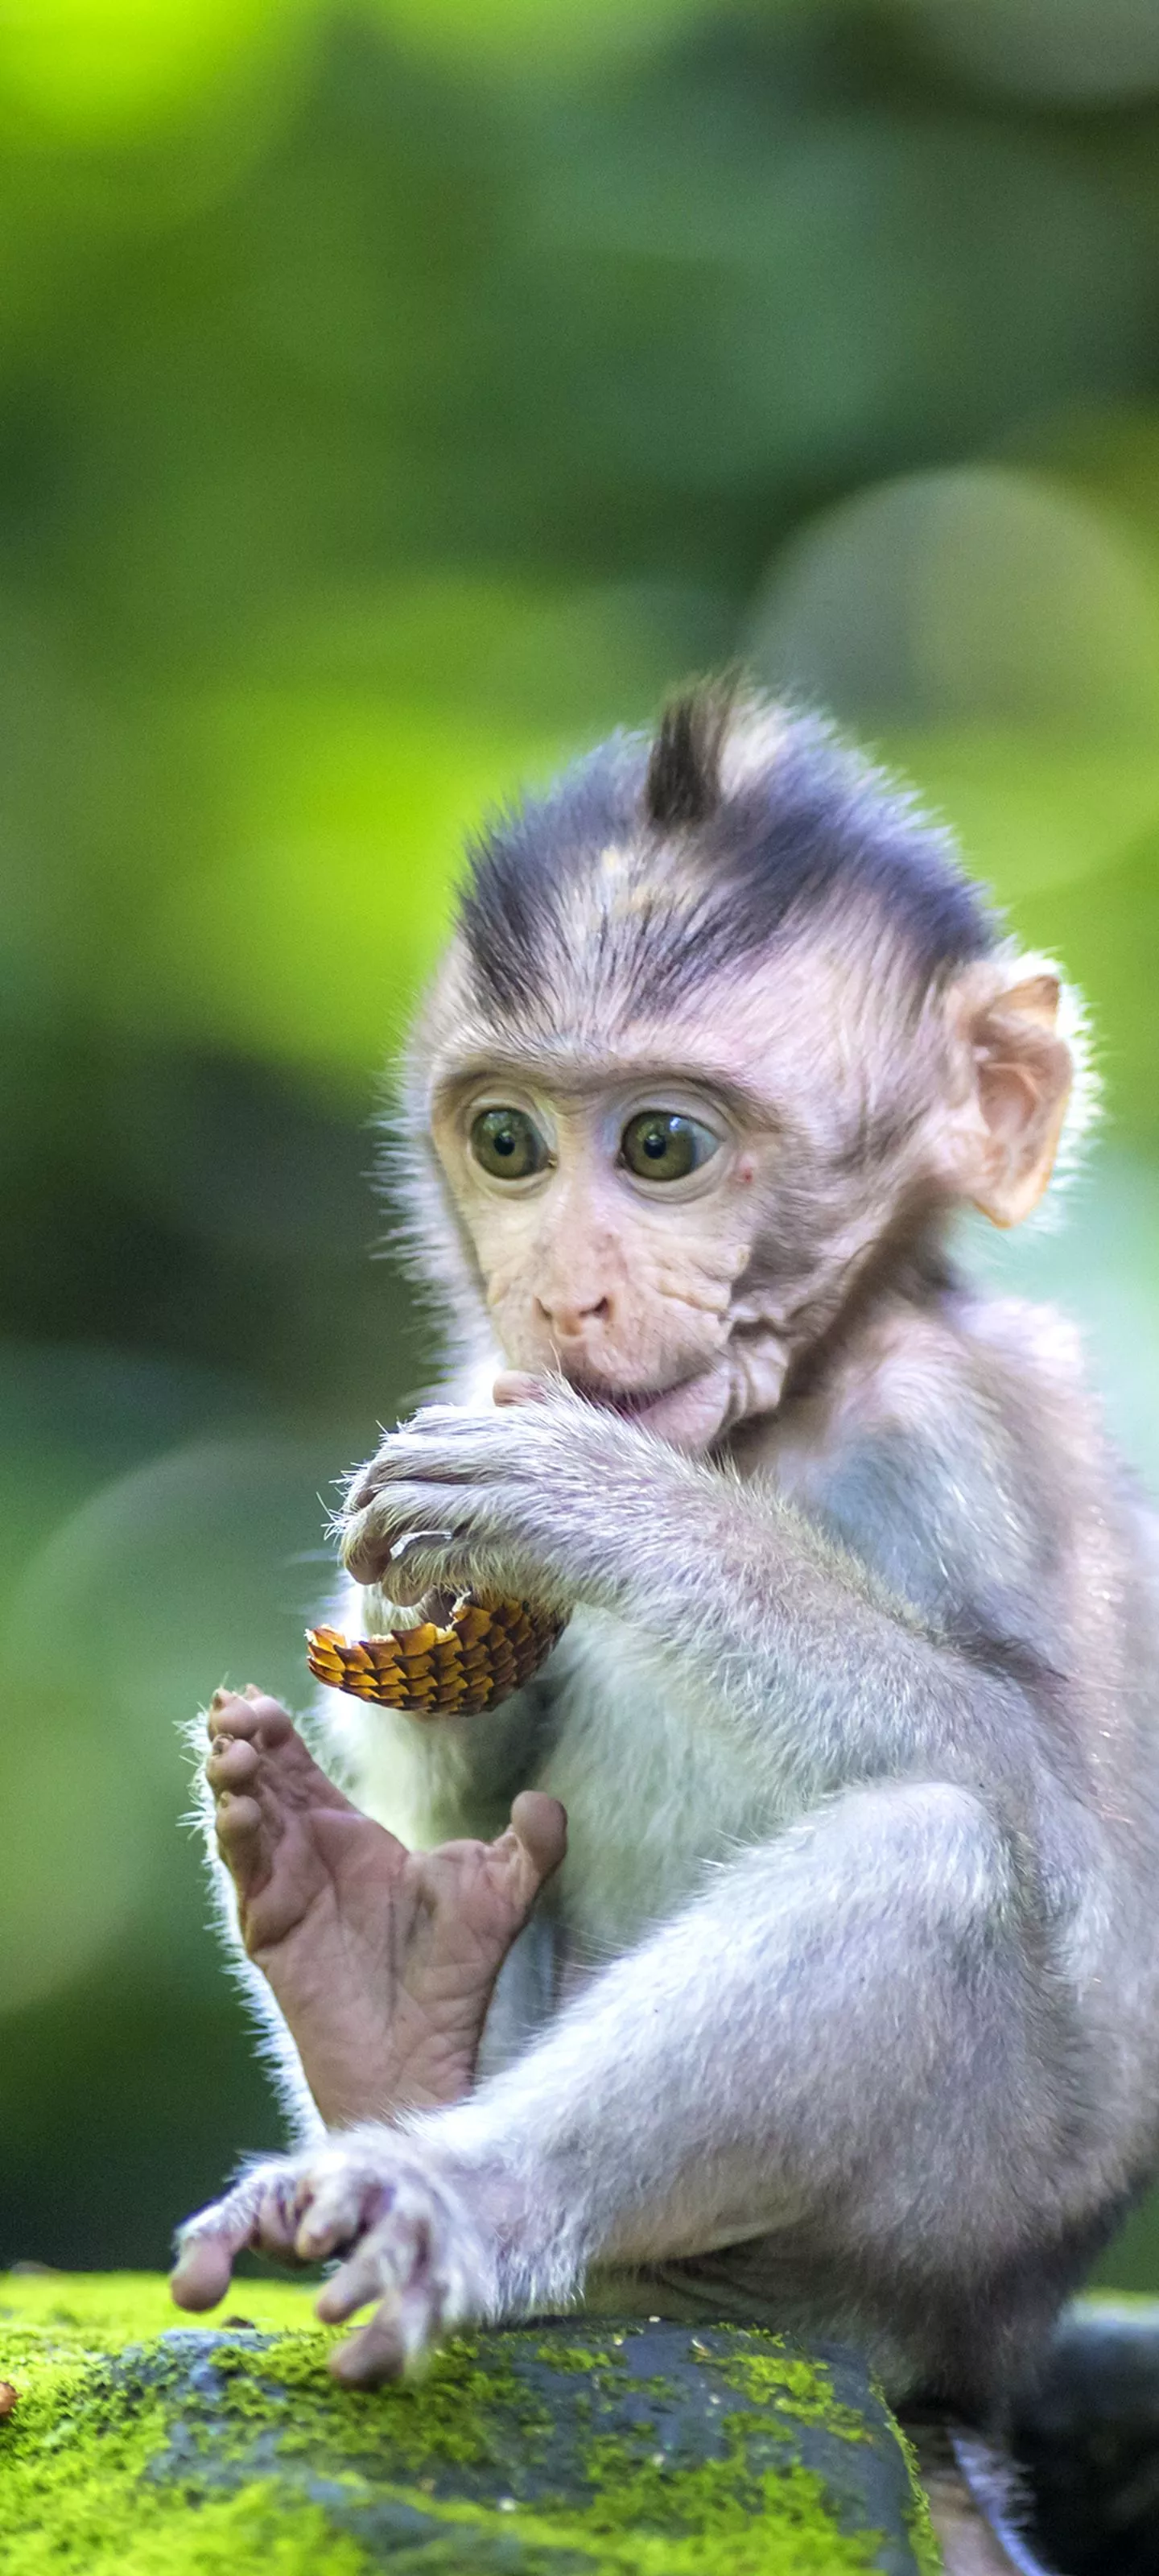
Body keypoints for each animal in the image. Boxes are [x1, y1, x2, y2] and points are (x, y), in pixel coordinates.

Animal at [172, 681, 1159, 2450]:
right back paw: (380, 1995)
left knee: (934, 1863)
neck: (782, 1419)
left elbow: (1096, 1910)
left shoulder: (982, 1434)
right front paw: (408, 1590)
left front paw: (608, 1505)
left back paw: (459, 2182)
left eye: (662, 1147)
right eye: (507, 1140)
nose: (561, 1295)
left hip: (942, 2234)